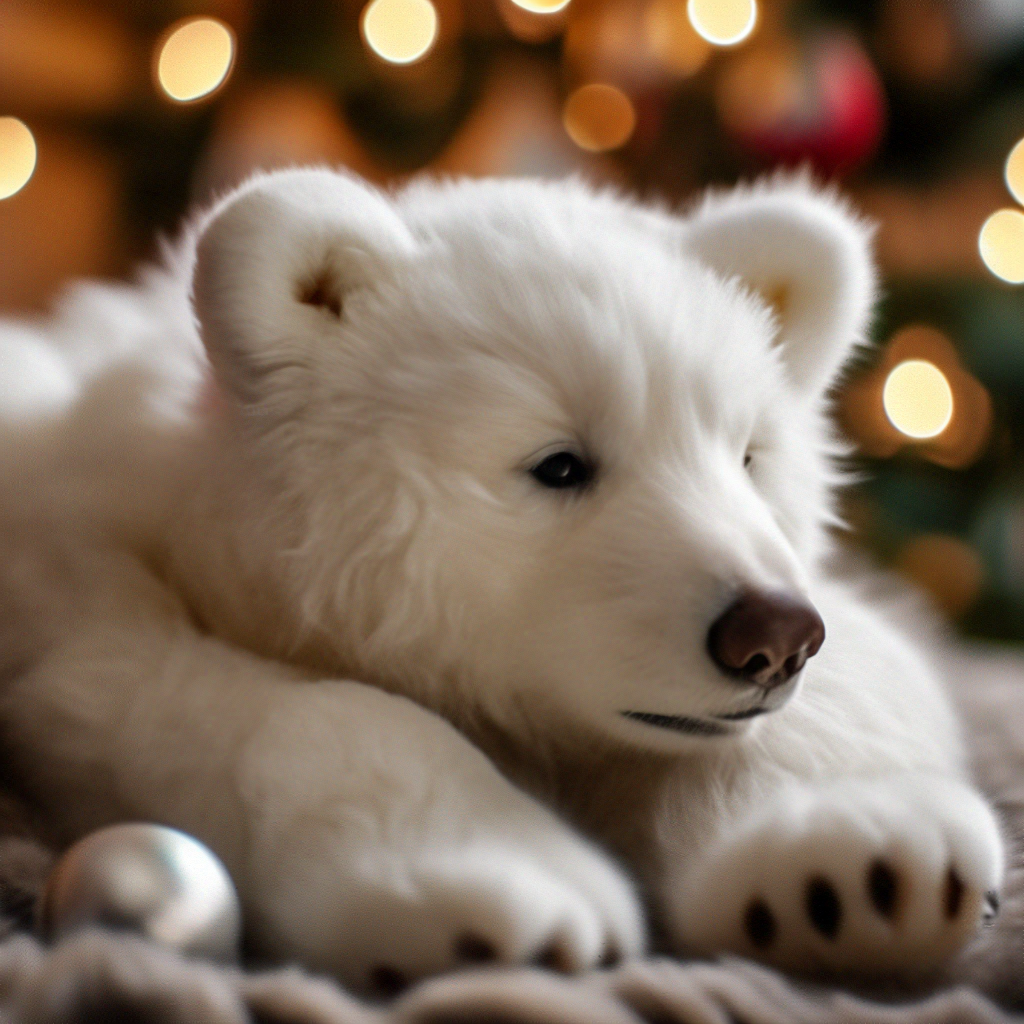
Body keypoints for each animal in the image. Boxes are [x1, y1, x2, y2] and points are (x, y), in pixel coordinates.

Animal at [0, 168, 1005, 994]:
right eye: (558, 464)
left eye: (749, 454)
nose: (772, 637)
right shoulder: (86, 596)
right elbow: (216, 703)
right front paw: (520, 890)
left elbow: (857, 677)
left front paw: (858, 864)